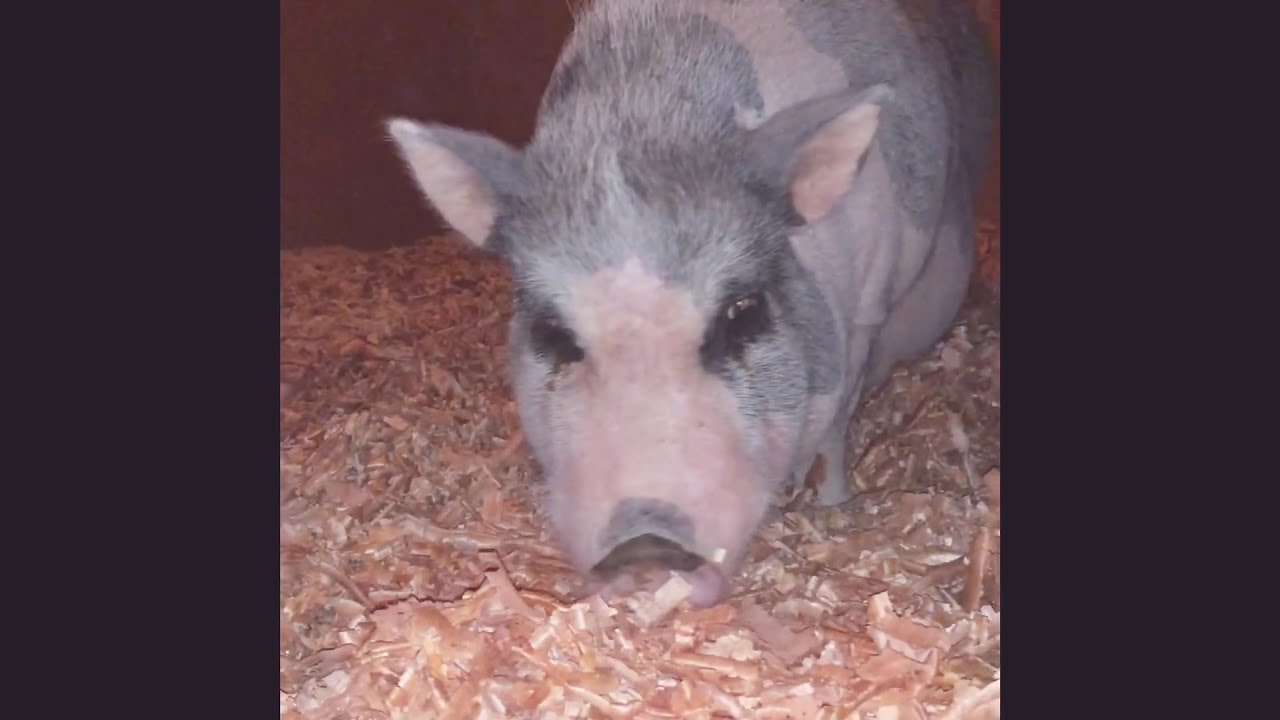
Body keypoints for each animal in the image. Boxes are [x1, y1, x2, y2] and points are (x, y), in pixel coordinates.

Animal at [386, 0, 997, 608]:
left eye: (743, 312)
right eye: (553, 332)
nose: (645, 546)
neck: (647, 114)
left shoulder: (868, 307)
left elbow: (836, 429)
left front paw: (831, 503)